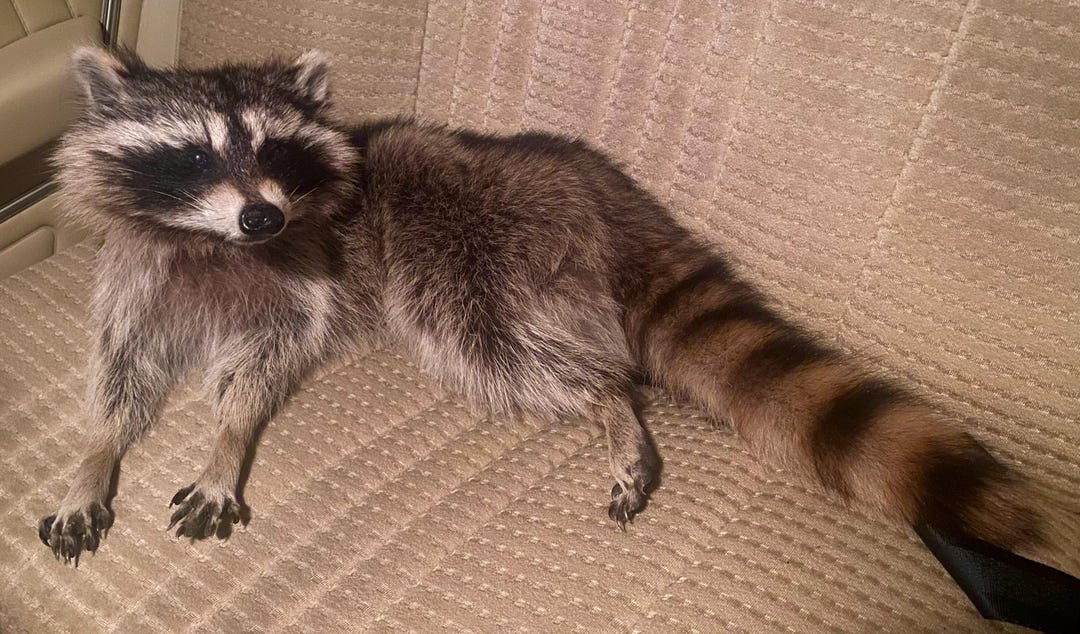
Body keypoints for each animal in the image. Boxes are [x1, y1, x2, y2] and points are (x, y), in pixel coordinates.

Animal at [39, 47, 1045, 566]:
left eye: (277, 152)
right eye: (197, 155)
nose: (261, 214)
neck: (213, 243)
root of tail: (600, 188)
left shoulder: (302, 276)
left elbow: (266, 361)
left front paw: (227, 441)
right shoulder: (141, 275)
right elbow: (122, 368)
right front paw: (95, 457)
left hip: (470, 251)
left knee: (498, 347)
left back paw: (607, 401)